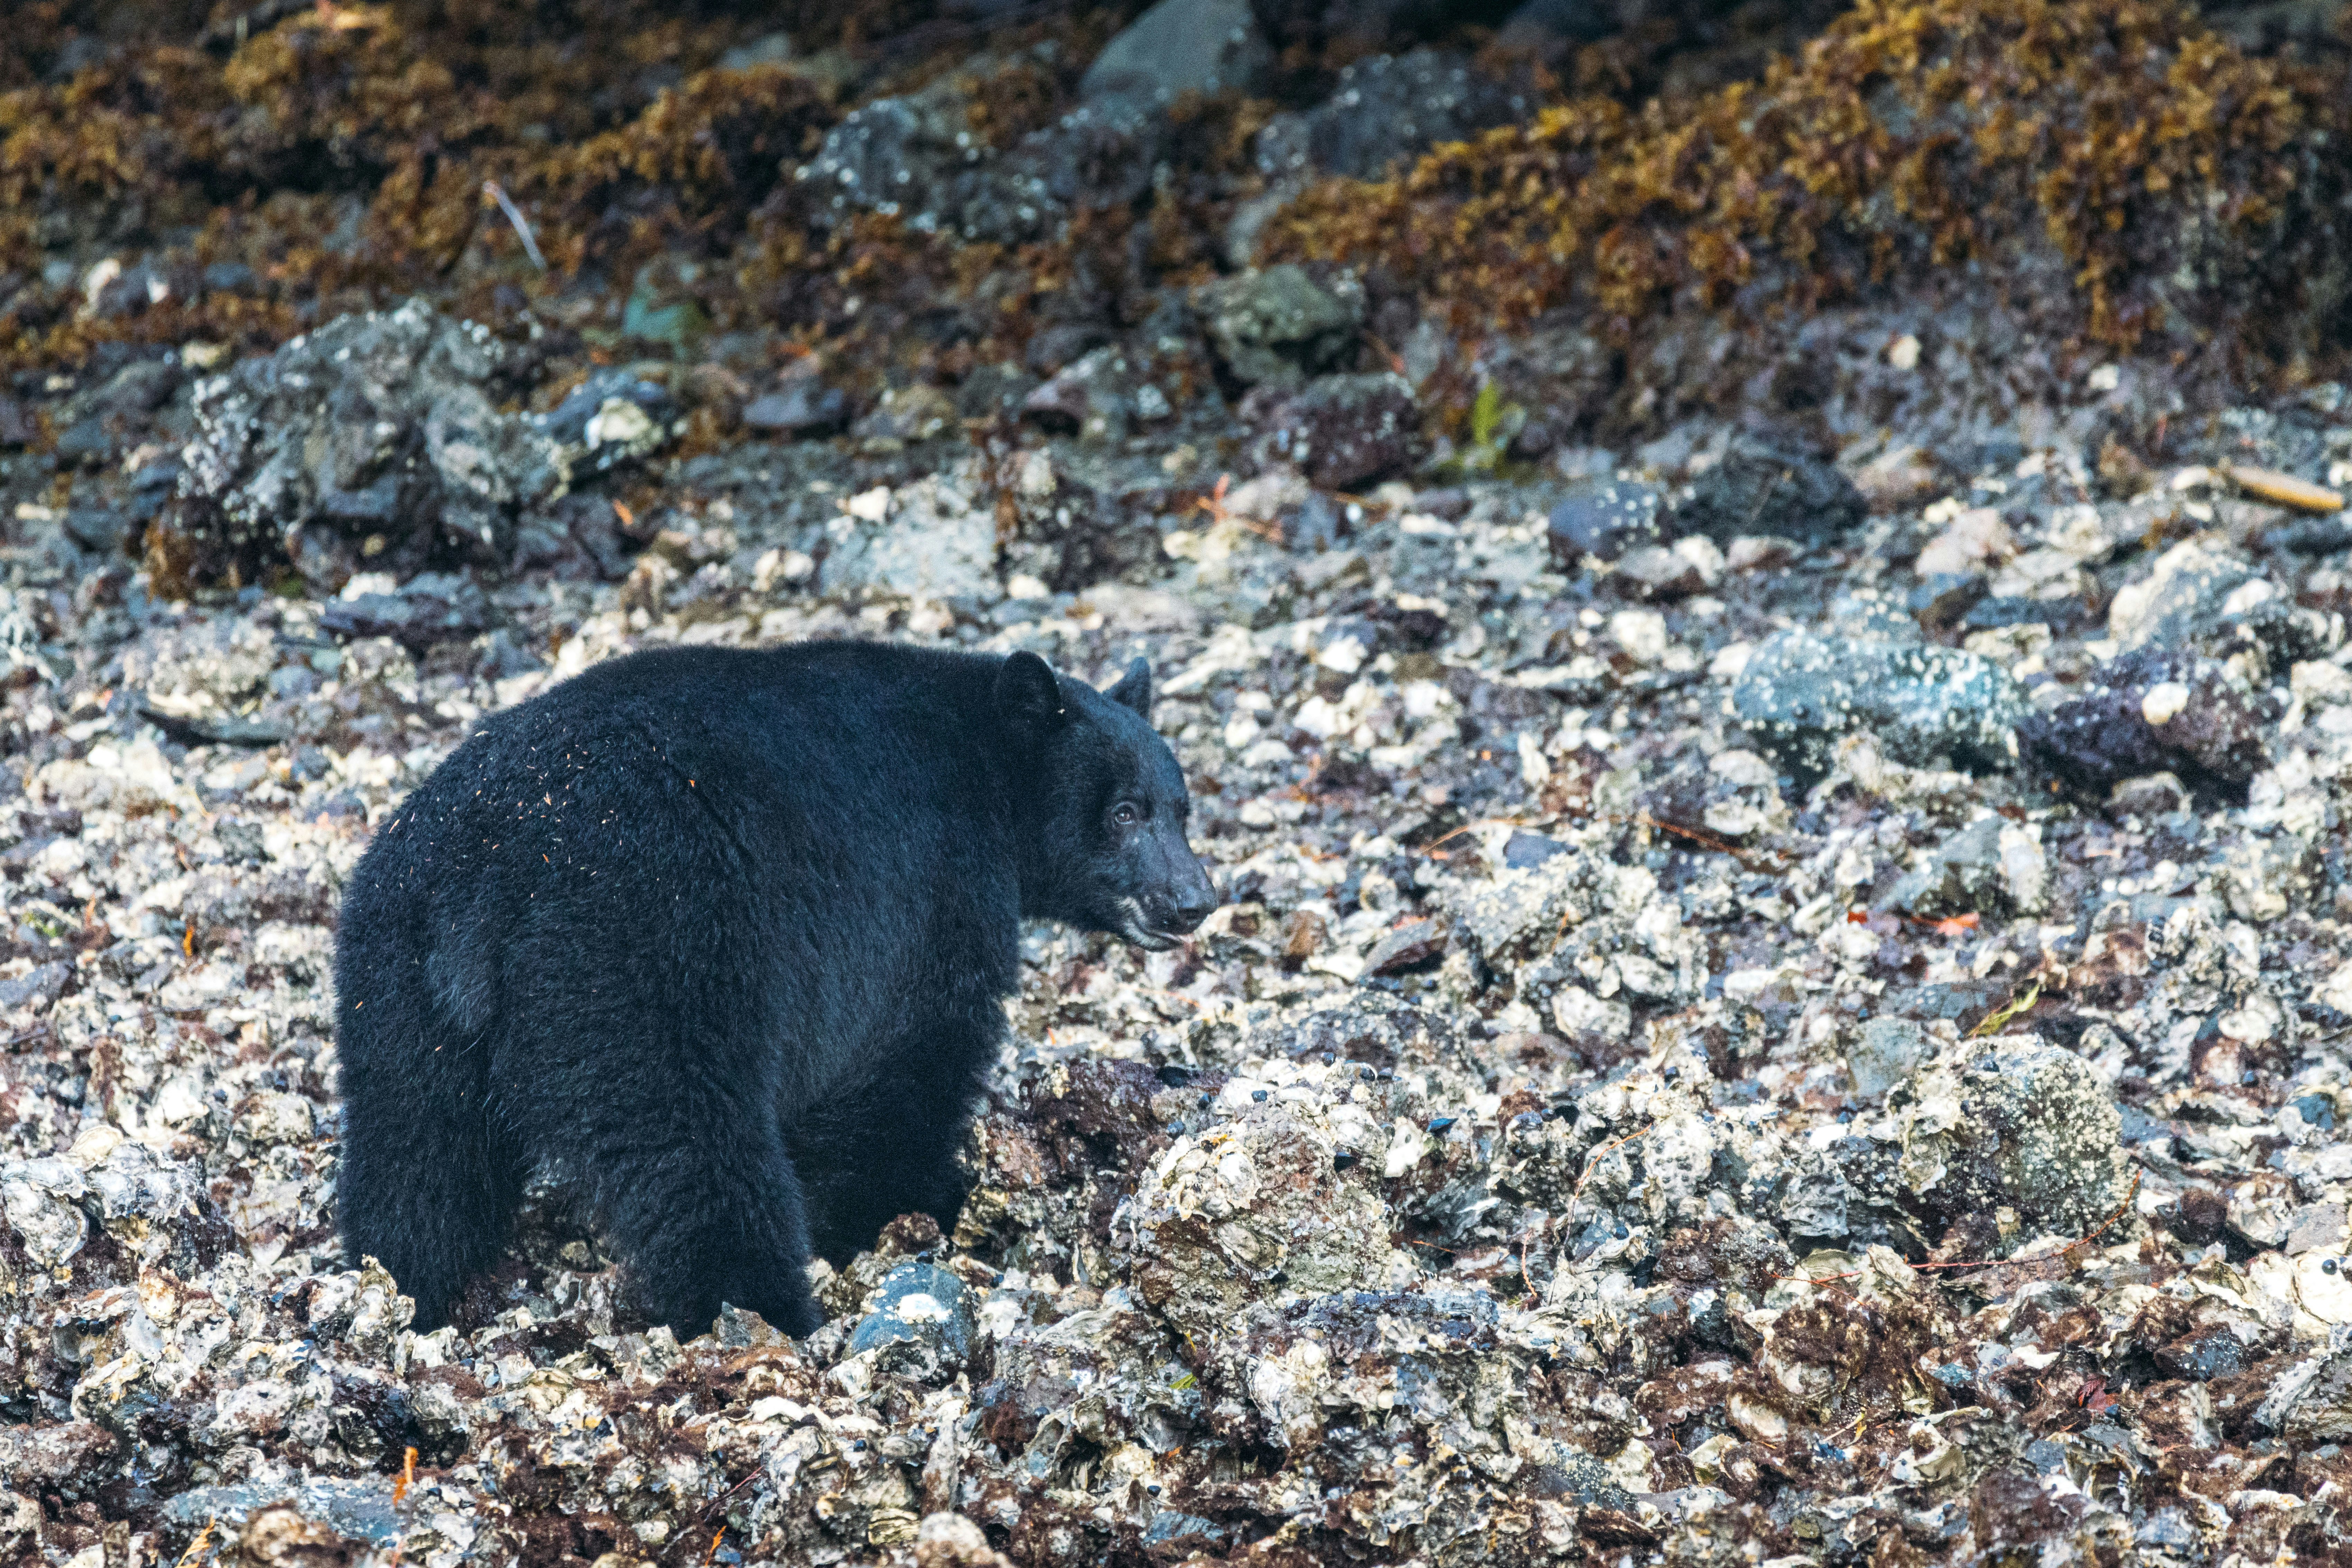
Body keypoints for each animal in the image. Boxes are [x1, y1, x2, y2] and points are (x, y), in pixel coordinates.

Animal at [332, 642, 1217, 1336]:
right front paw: (912, 1205)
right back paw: (764, 1305)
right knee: (691, 1147)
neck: (986, 771)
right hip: (648, 959)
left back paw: (404, 1285)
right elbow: (904, 1062)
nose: (1194, 900)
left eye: (1181, 809)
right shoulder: (926, 899)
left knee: (417, 1151)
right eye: (1125, 811)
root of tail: (488, 883)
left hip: (394, 977)